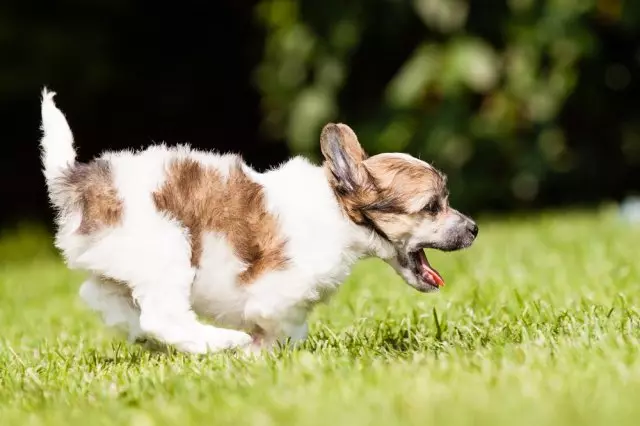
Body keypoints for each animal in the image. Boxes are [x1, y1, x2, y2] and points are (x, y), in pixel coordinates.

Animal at [40, 87, 478, 352]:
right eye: (433, 206)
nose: (474, 228)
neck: (339, 214)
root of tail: (80, 180)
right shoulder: (278, 289)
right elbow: (283, 322)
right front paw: (260, 352)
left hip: (121, 261)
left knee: (103, 298)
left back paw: (143, 335)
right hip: (168, 248)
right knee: (163, 317)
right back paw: (220, 343)